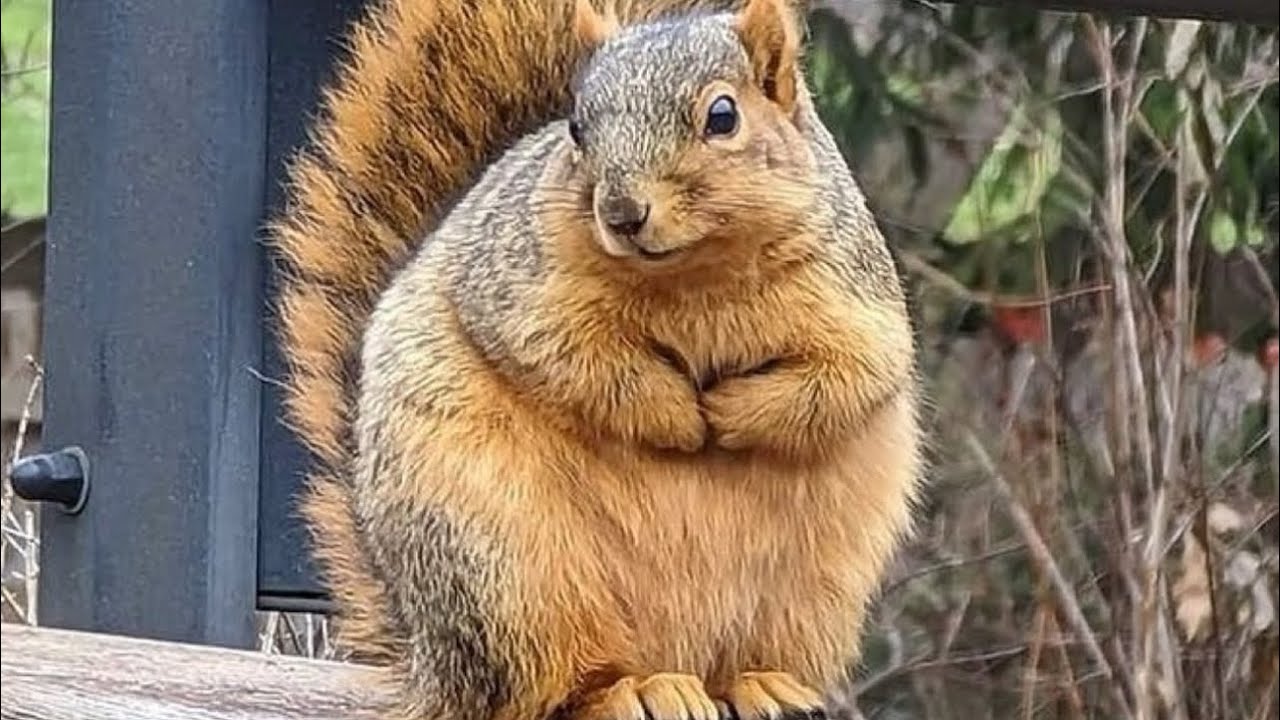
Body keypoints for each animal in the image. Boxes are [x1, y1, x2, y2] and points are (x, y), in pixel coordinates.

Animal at [269, 0, 924, 717]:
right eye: (577, 127)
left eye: (723, 116)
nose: (622, 211)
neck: (694, 277)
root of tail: (430, 661)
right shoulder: (521, 288)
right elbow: (579, 361)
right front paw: (680, 416)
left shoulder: (856, 298)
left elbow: (847, 377)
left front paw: (730, 412)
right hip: (503, 569)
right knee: (546, 685)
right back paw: (629, 690)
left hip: (811, 590)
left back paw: (761, 683)